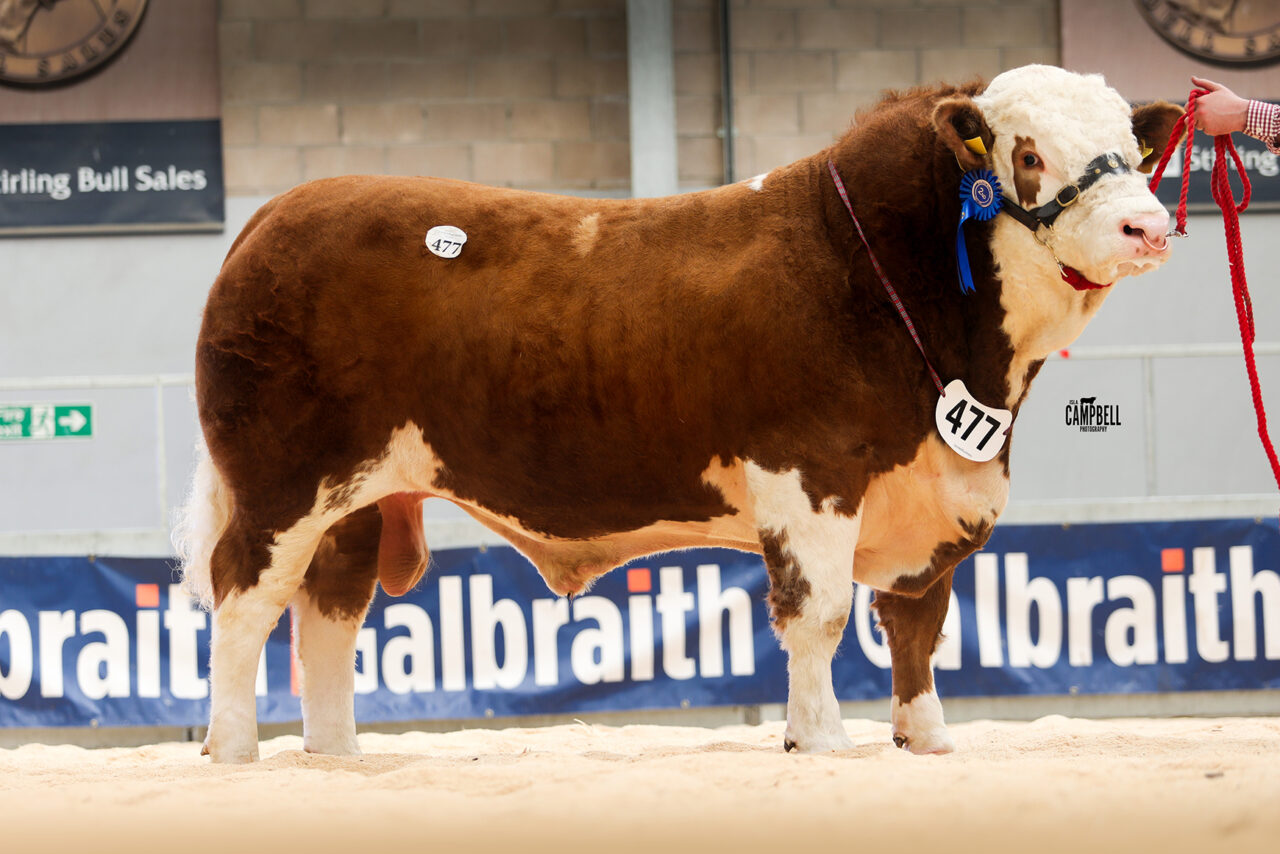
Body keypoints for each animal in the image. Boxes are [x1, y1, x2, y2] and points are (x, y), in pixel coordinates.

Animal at [175, 65, 1183, 763]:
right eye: (1028, 154)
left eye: (1134, 154)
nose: (1148, 225)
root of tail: (274, 215)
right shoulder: (809, 475)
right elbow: (819, 615)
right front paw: (822, 741)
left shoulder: (934, 489)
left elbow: (916, 620)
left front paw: (927, 741)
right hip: (282, 487)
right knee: (243, 603)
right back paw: (235, 752)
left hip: (354, 501)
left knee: (329, 611)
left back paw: (337, 755)